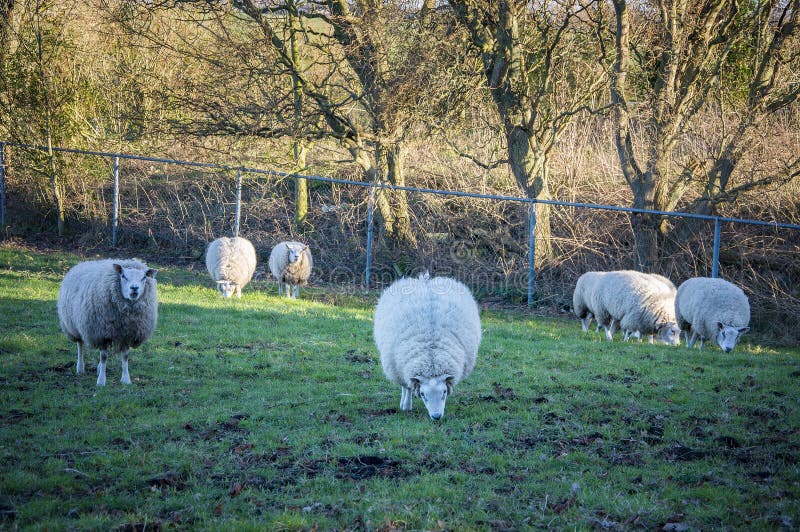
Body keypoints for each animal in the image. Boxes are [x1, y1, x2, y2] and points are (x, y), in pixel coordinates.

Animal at [373, 273, 481, 421]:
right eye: (423, 394)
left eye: (444, 392)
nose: (436, 416)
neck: (431, 357)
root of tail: (425, 280)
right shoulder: (401, 369)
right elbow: (407, 387)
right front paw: (406, 406)